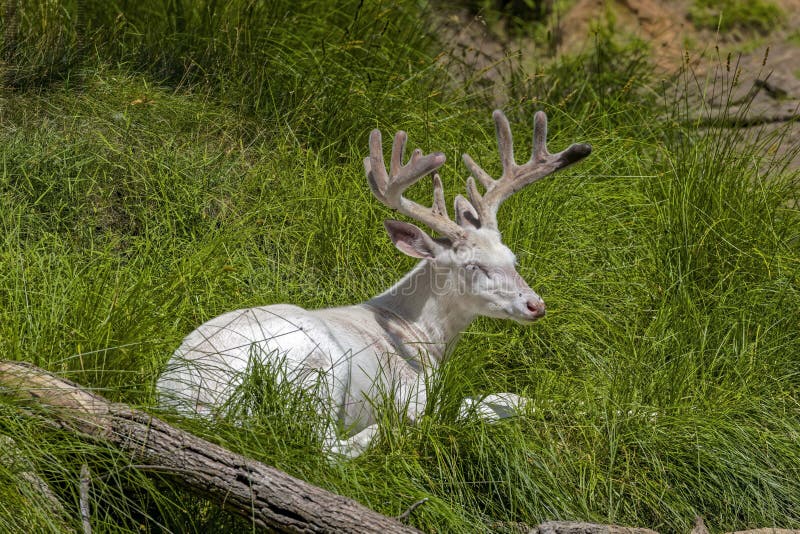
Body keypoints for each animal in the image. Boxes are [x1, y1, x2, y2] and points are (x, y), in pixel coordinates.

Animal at [156, 110, 591, 457]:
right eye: (473, 266)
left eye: (512, 258)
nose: (536, 305)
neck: (424, 336)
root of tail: (186, 402)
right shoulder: (414, 392)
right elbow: (481, 403)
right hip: (318, 366)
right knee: (323, 447)